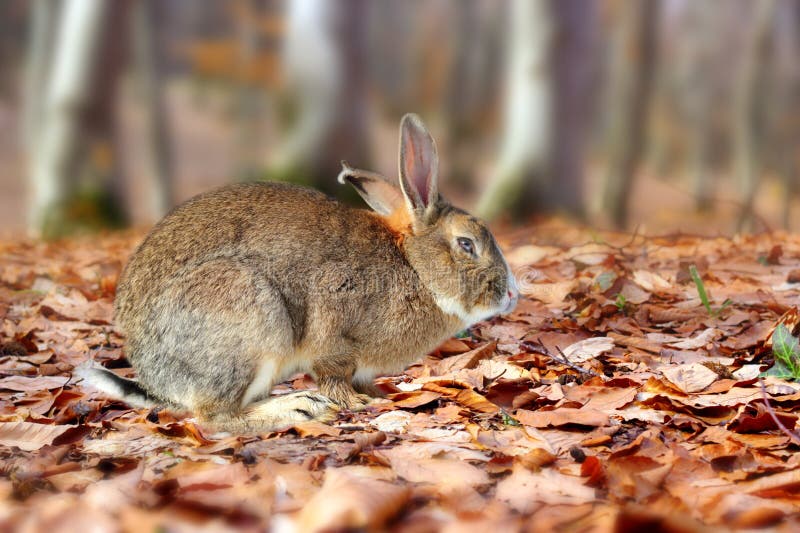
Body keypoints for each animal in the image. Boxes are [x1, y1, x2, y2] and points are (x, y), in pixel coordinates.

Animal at [82, 114, 519, 433]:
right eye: (466, 244)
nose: (512, 294)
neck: (414, 265)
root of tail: (158, 380)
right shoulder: (332, 329)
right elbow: (334, 376)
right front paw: (356, 403)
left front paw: (380, 395)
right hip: (250, 319)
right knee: (214, 417)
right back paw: (298, 408)